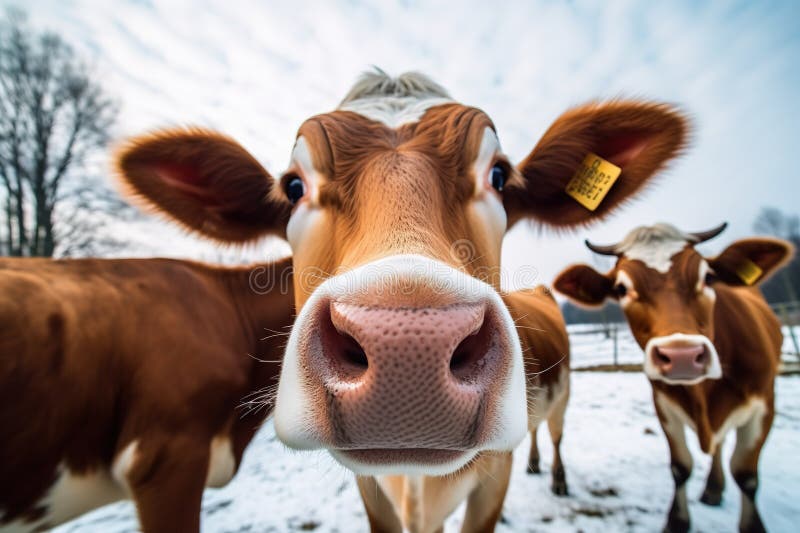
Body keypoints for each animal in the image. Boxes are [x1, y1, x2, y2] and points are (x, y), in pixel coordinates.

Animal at [114, 70, 689, 532]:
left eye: (499, 175)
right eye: (294, 186)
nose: (409, 346)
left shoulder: (490, 482)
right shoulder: (373, 491)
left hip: (562, 396)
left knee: (555, 433)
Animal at [553, 222, 793, 533]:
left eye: (708, 277)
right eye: (621, 288)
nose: (682, 356)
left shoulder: (764, 406)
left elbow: (746, 475)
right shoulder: (665, 406)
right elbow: (681, 466)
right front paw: (677, 521)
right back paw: (713, 490)